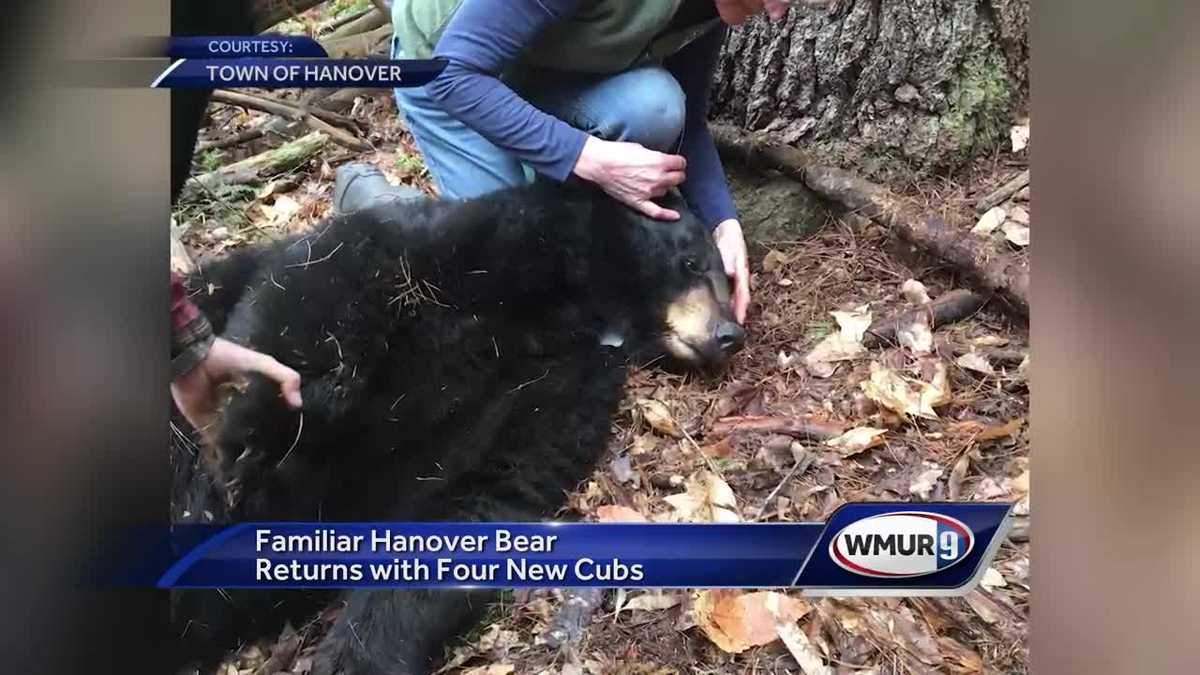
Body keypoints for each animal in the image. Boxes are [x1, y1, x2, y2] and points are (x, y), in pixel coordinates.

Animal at [171, 179, 745, 674]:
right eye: (692, 260)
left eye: (724, 274)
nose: (730, 334)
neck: (569, 309)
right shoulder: (456, 248)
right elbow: (317, 287)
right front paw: (248, 433)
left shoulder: (561, 381)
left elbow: (487, 492)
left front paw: (356, 655)